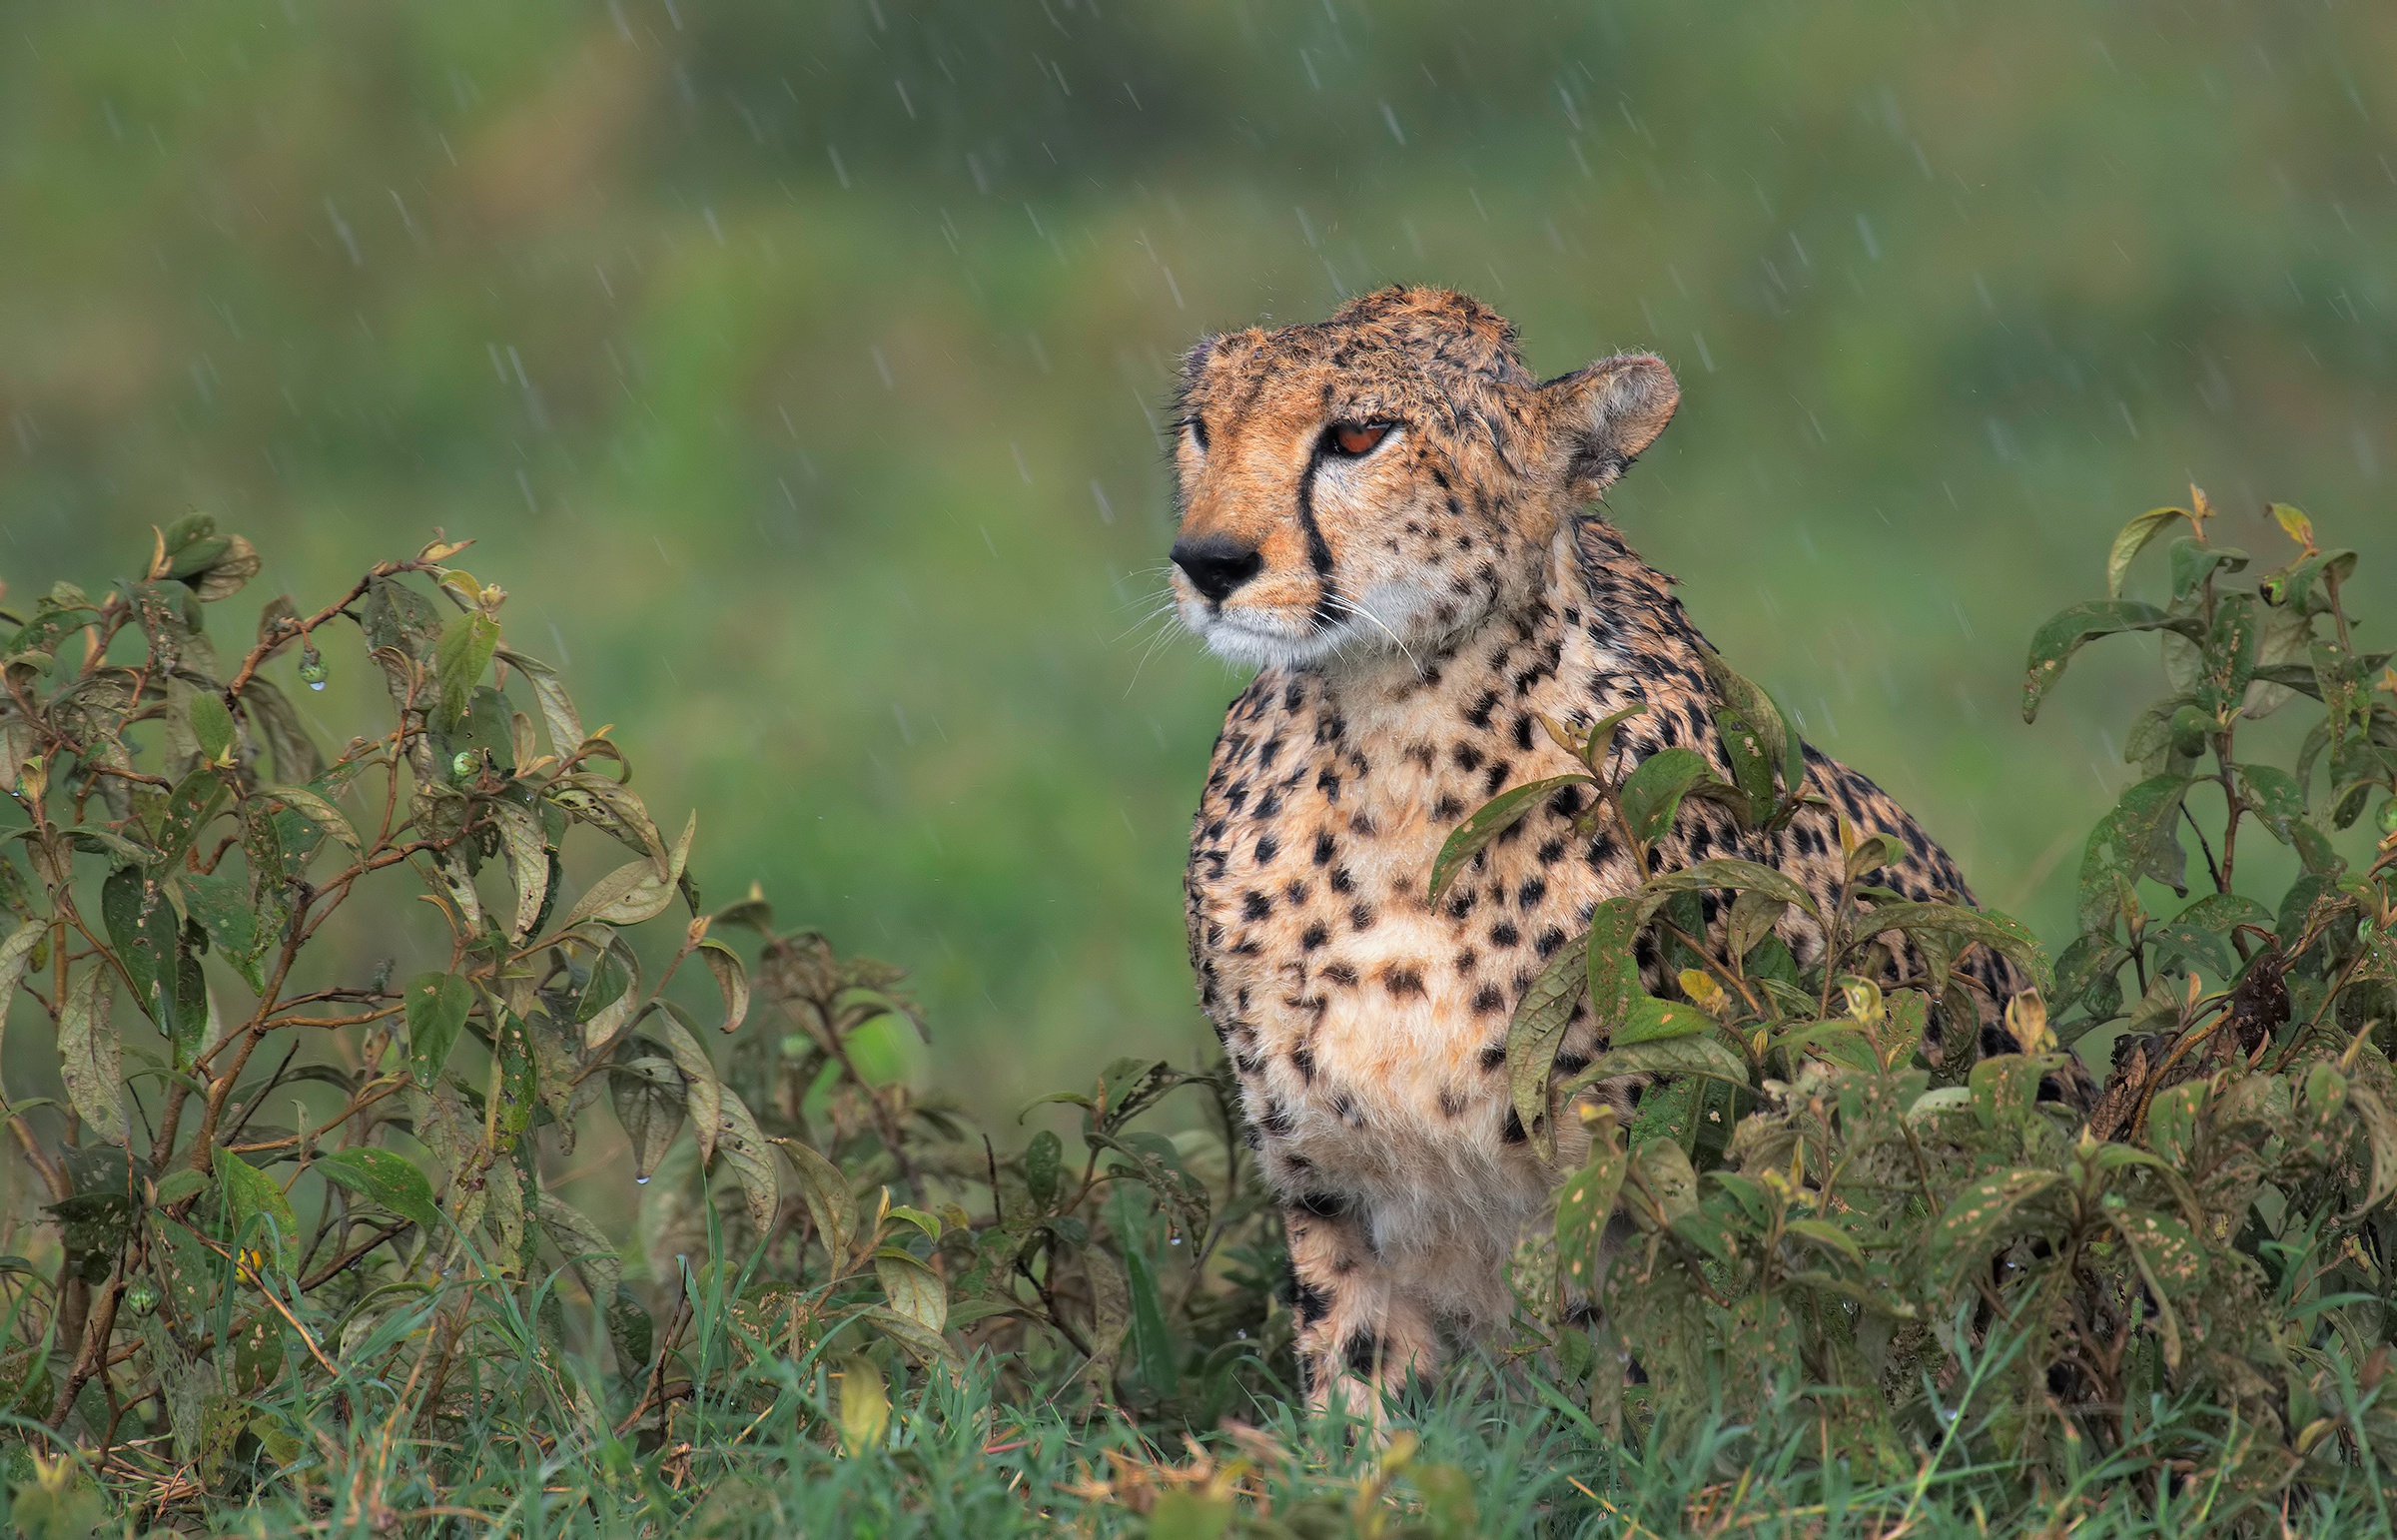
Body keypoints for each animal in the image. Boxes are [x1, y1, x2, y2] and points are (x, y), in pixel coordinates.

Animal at [1168, 285, 2045, 1415]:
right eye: (1204, 428)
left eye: (1360, 435)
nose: (1209, 562)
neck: (1391, 749)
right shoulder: (1333, 1188)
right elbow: (1362, 1396)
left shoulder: (1640, 1182)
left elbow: (1653, 1393)